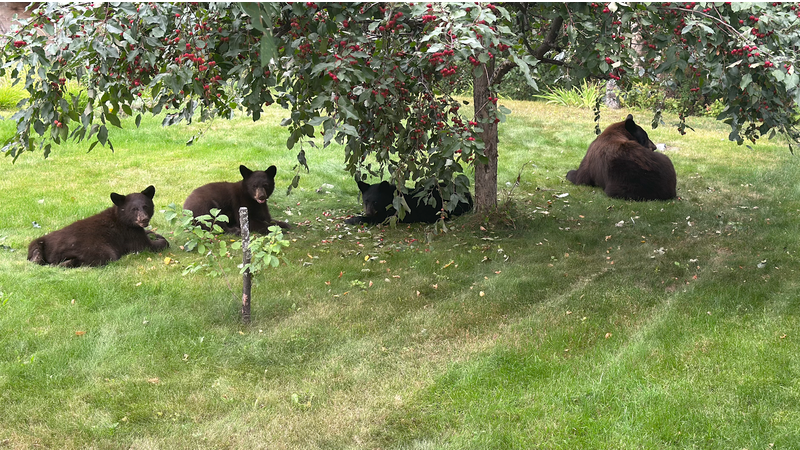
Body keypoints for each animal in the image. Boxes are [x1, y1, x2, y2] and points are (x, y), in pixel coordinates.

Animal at [27, 185, 169, 267]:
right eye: (134, 209)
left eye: (146, 206)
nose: (144, 219)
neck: (122, 219)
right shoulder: (130, 235)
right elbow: (149, 245)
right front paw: (160, 240)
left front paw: (154, 233)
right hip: (96, 248)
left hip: (45, 238)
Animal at [344, 178, 474, 225]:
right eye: (365, 201)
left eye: (376, 202)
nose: (368, 213)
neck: (391, 198)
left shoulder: (394, 212)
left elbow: (380, 219)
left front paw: (351, 220)